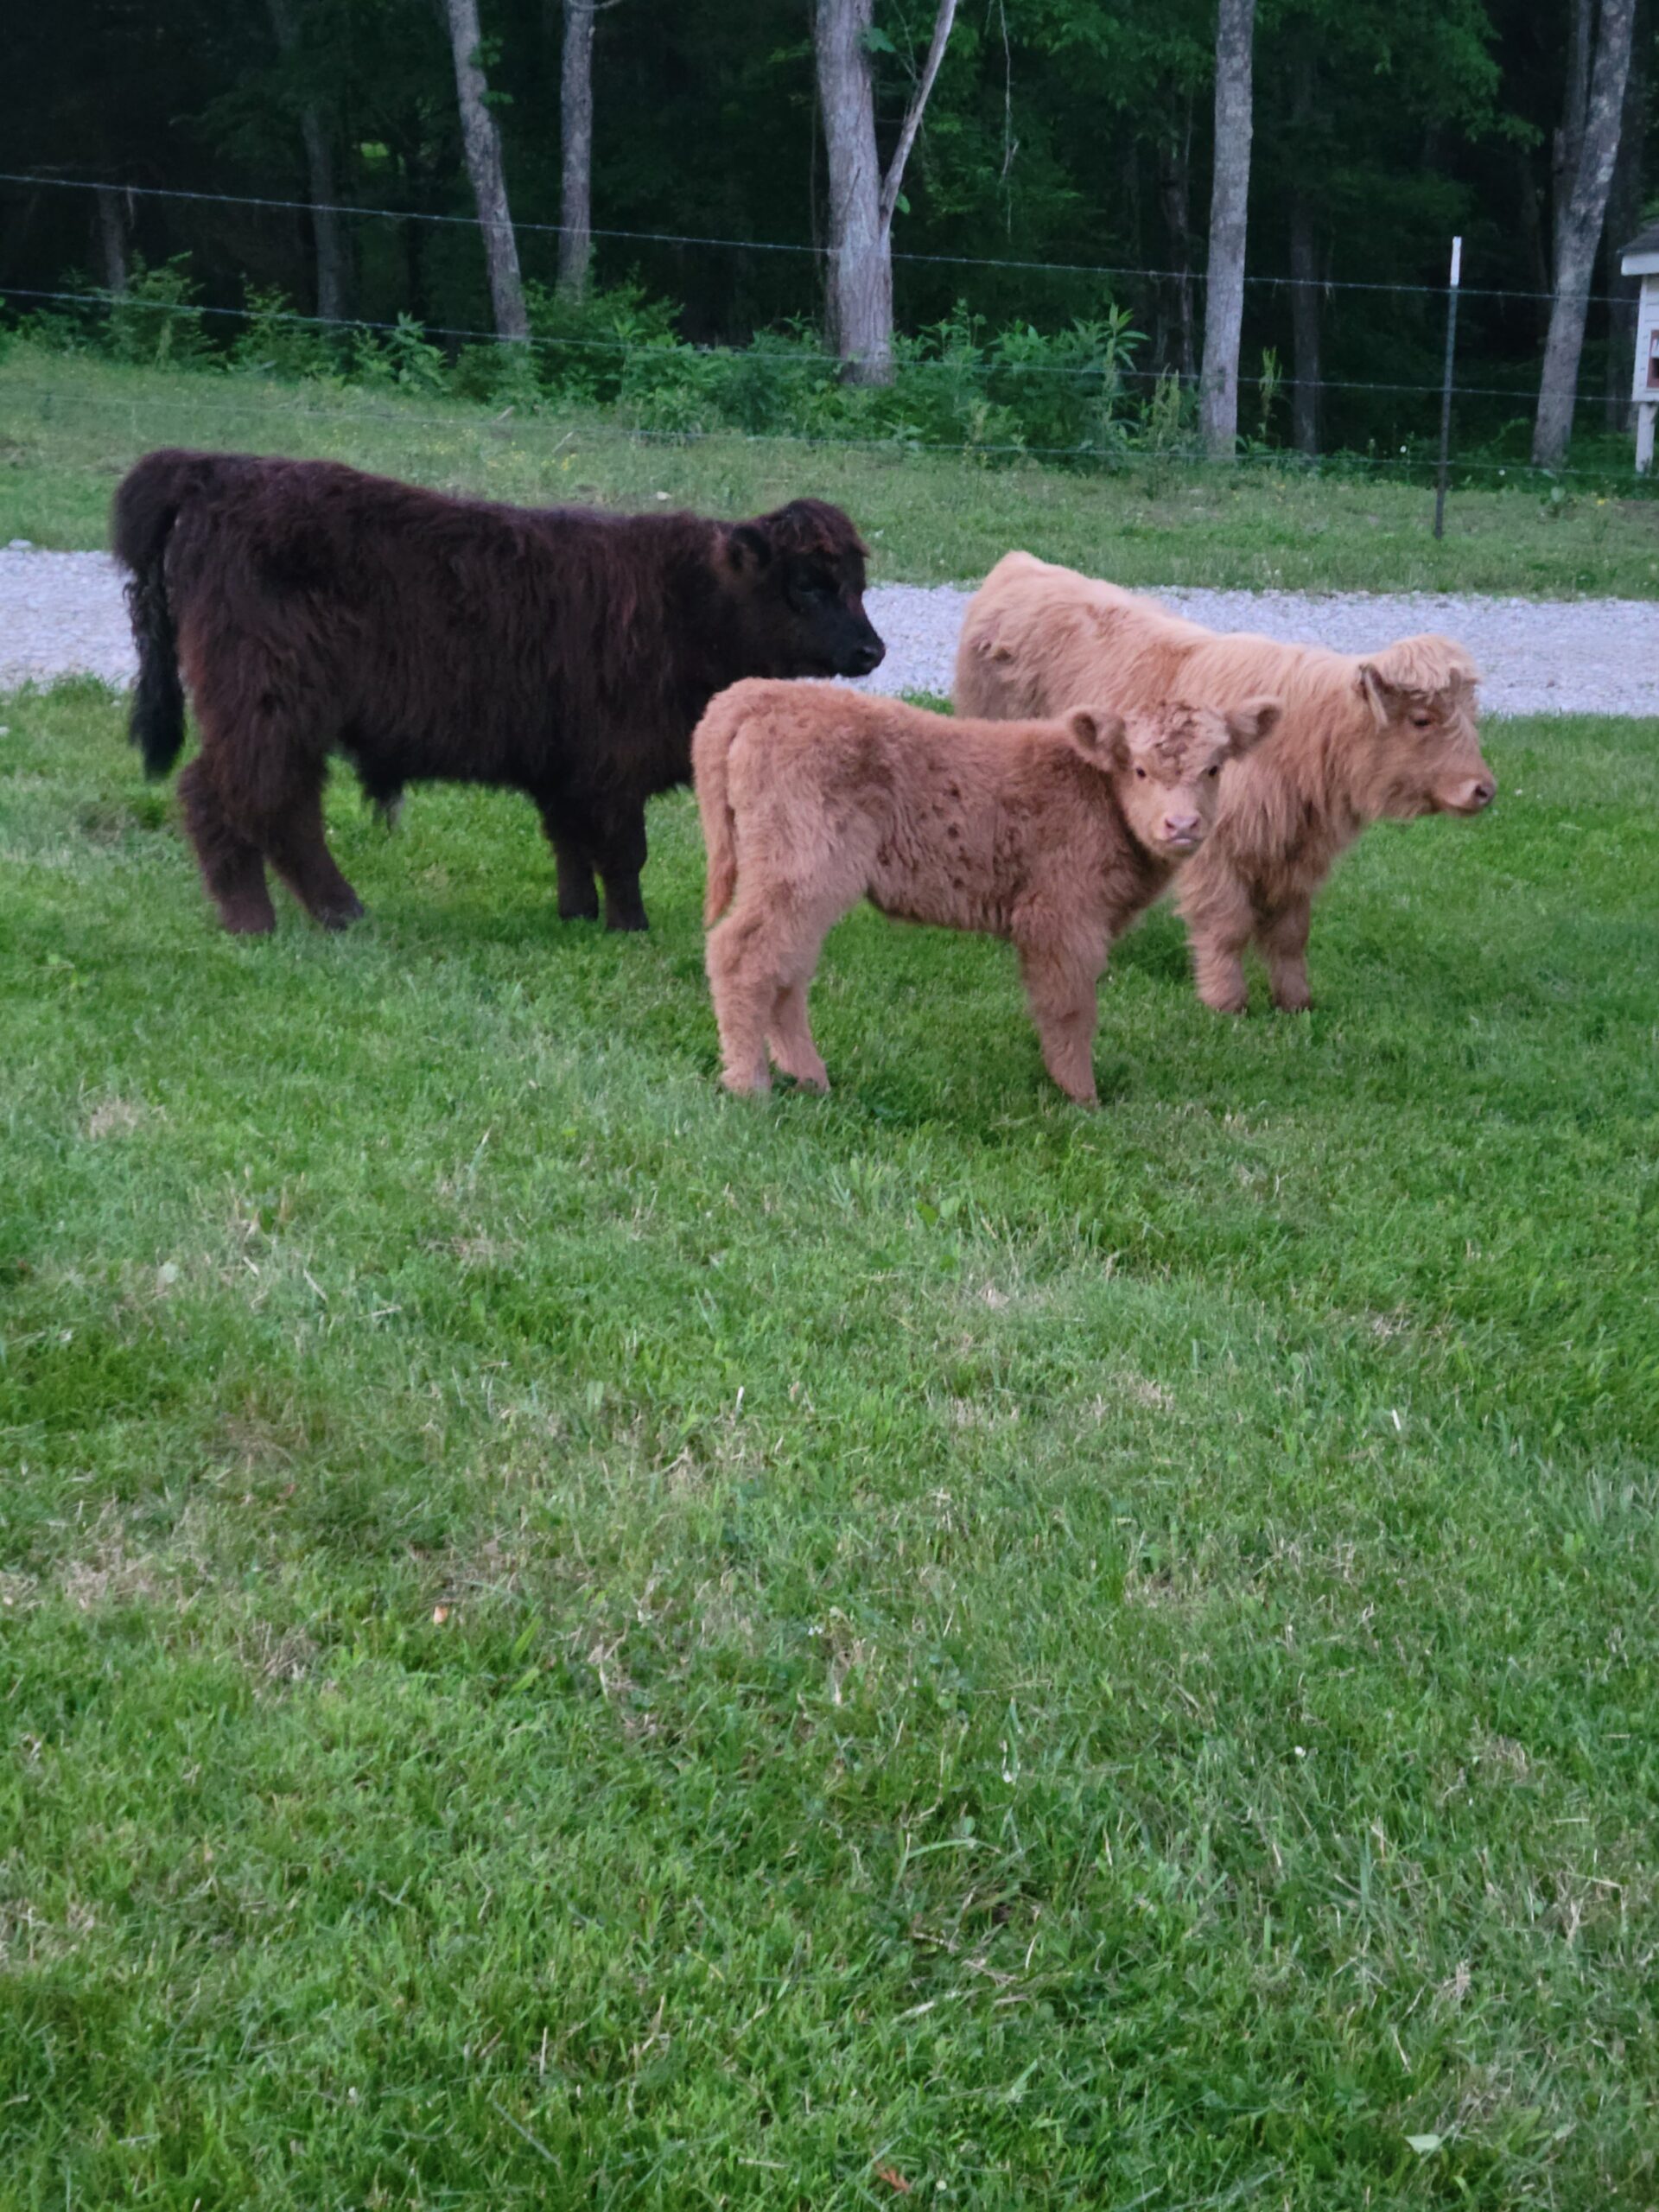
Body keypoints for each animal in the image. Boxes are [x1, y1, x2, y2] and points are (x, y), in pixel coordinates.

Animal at [111, 449, 885, 936]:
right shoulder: (613, 769)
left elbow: (570, 843)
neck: (691, 600)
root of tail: (218, 472)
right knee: (241, 800)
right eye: (809, 586)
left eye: (858, 584)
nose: (872, 651)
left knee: (269, 805)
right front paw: (630, 926)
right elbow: (621, 851)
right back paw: (279, 920)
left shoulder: (566, 771)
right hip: (270, 707)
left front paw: (576, 915)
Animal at [693, 679, 1281, 1105]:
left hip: (797, 881)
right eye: (1138, 769)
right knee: (743, 954)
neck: (1097, 794)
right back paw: (749, 1085)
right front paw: (1082, 1099)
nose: (1182, 825)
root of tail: (758, 693)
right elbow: (1071, 1008)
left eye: (1214, 768)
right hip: (804, 868)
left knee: (788, 971)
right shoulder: (1060, 918)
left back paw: (811, 1079)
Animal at [954, 552, 1494, 1014]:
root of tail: (1021, 565)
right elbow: (1228, 927)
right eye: (1422, 719)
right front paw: (1225, 1002)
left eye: (1471, 716)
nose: (1483, 789)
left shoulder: (1297, 856)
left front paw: (1295, 1002)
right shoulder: (1215, 849)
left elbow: (1291, 934)